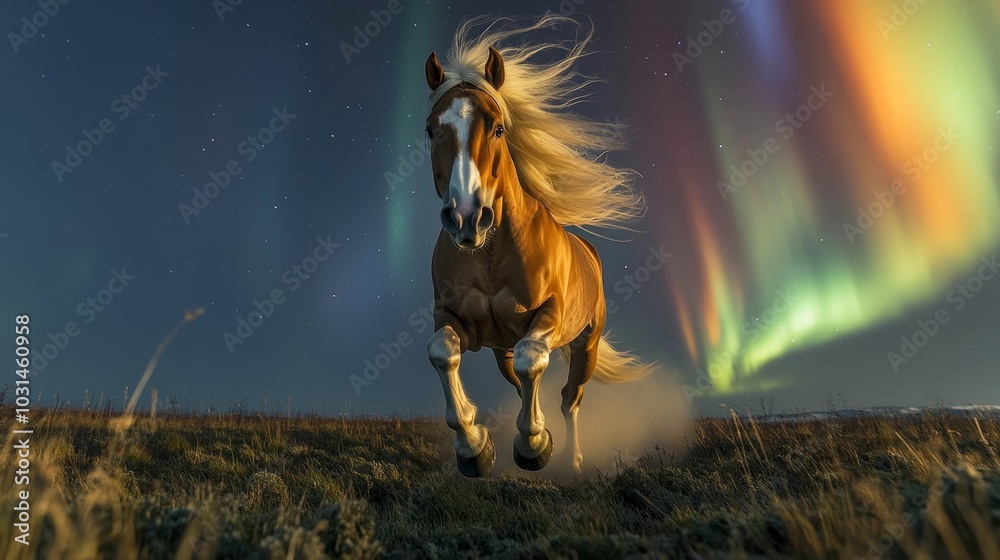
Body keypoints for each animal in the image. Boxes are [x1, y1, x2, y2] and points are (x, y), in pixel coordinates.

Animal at [423, 15, 653, 477]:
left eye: (498, 128)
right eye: (430, 130)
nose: (466, 217)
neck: (488, 254)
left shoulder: (548, 314)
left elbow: (535, 359)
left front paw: (533, 445)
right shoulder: (451, 317)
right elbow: (442, 352)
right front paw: (474, 446)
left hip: (585, 345)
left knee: (569, 398)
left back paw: (571, 458)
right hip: (500, 349)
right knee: (520, 383)